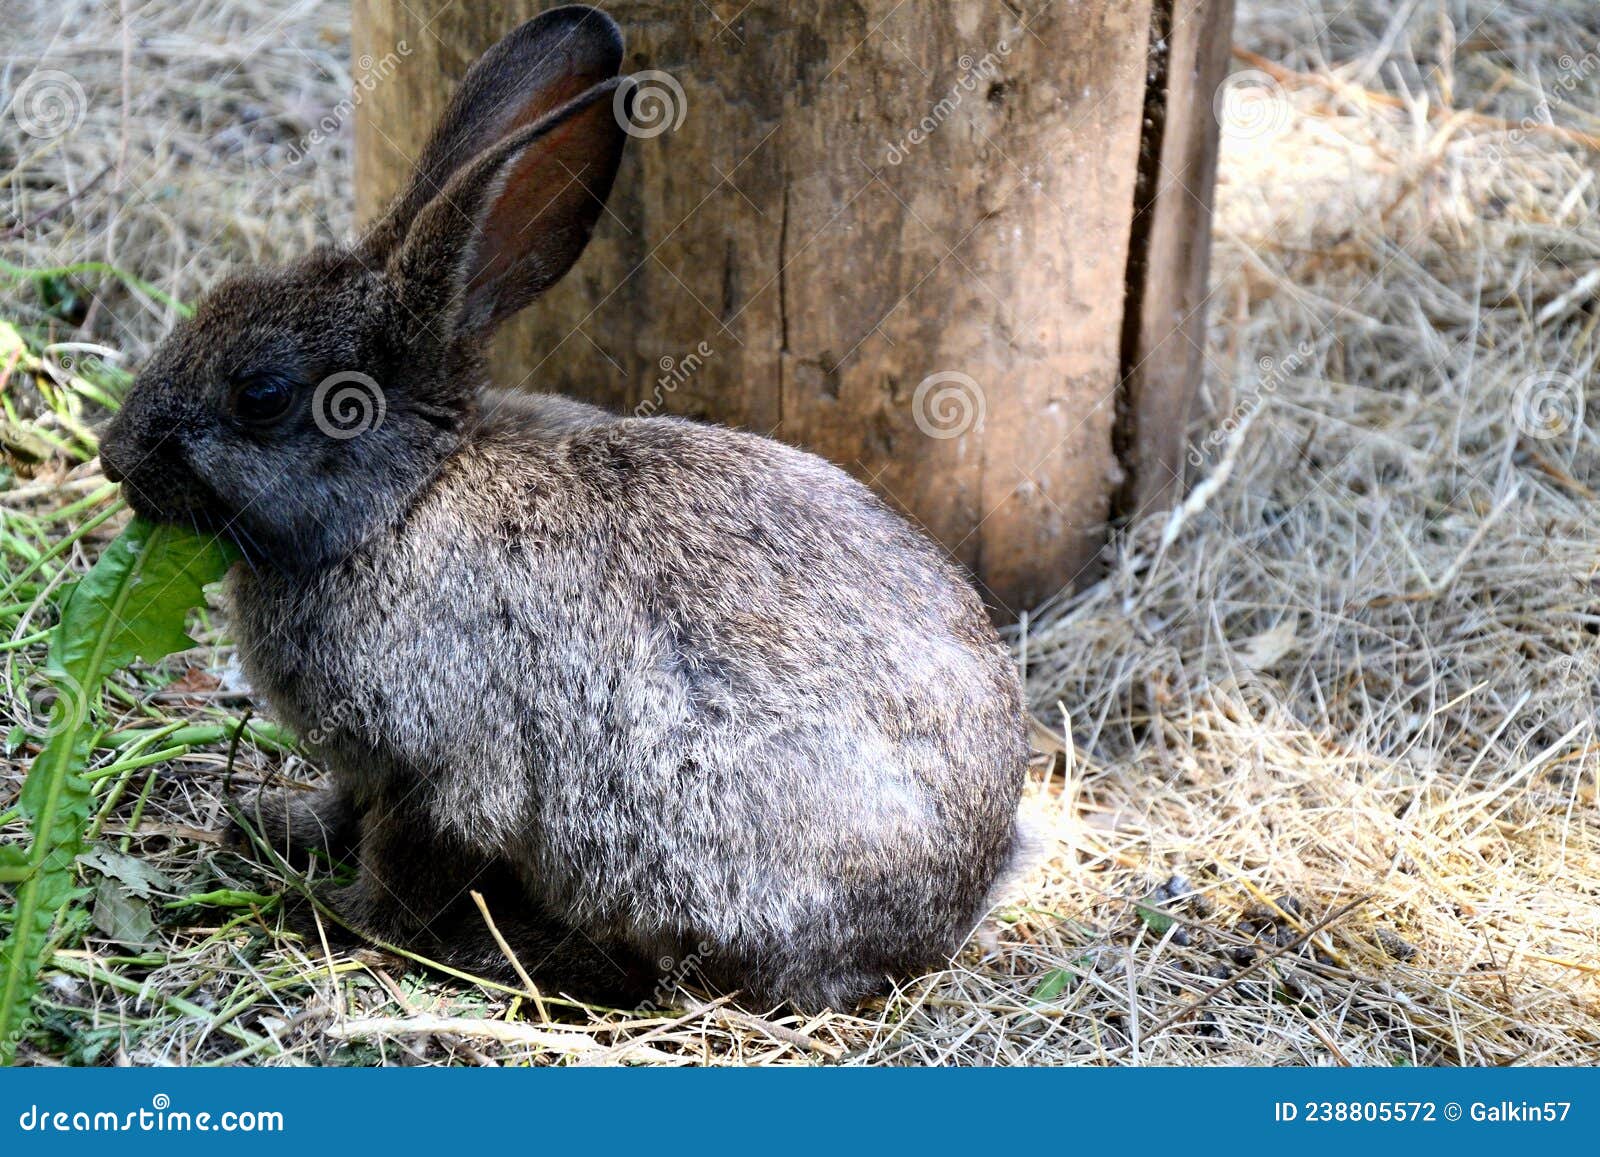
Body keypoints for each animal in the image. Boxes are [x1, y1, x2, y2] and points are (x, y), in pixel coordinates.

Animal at [97, 4, 1030, 1010]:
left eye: (261, 394)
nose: (116, 460)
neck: (405, 499)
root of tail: (956, 900)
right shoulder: (368, 765)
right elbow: (344, 806)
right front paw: (274, 824)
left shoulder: (442, 775)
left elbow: (399, 877)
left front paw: (322, 913)